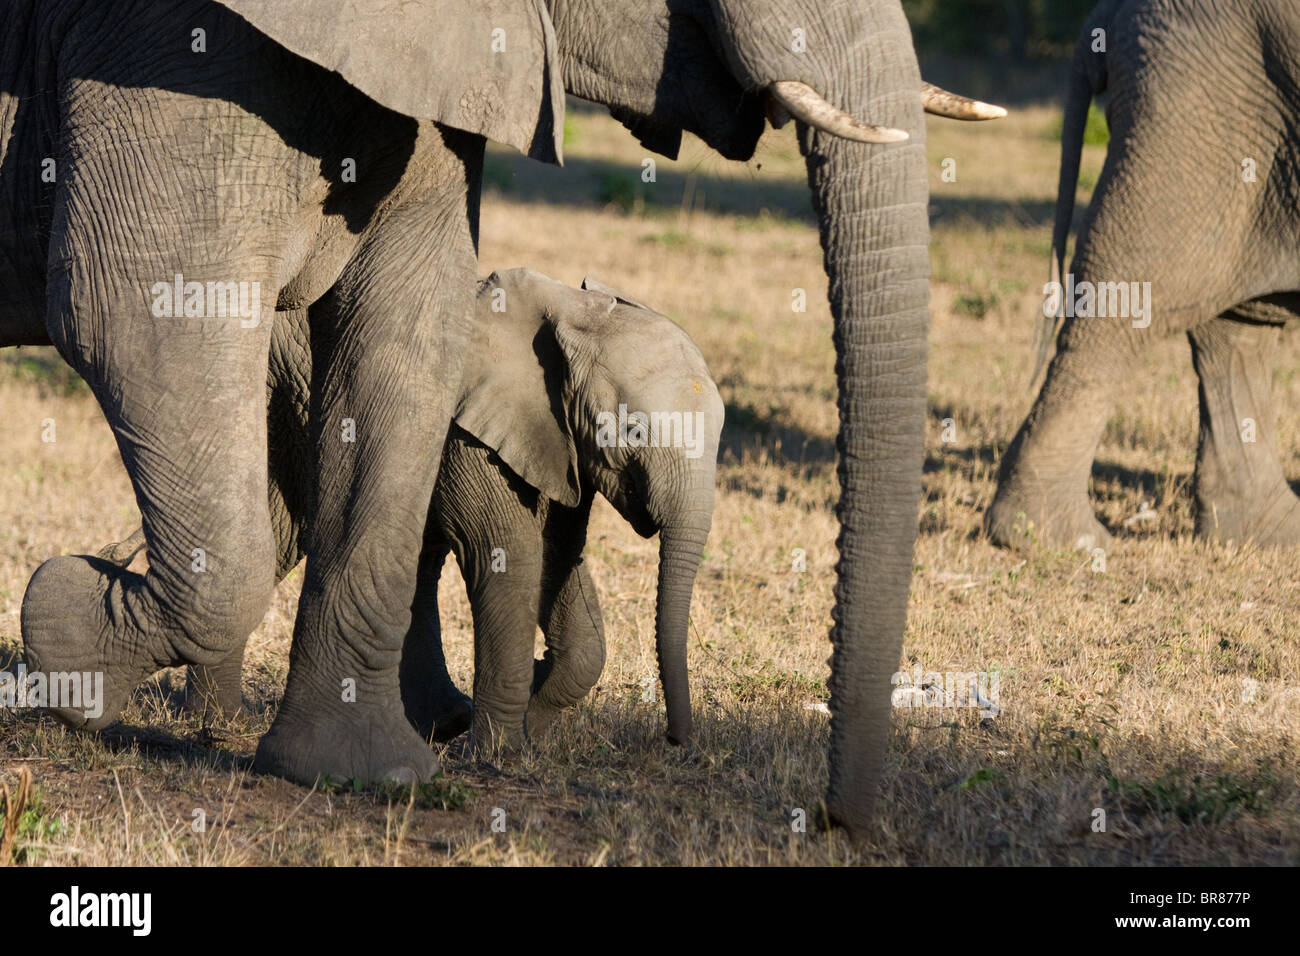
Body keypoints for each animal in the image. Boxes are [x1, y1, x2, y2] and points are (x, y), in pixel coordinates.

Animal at [4, 0, 1003, 836]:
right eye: (628, 438)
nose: (836, 822)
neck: (568, 313)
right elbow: (132, 314)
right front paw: (490, 750)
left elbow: (457, 414)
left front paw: (438, 751)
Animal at [987, 0, 1300, 551]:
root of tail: (1108, 12)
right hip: (1196, 106)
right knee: (1130, 288)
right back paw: (1057, 540)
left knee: (1240, 323)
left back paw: (1269, 536)